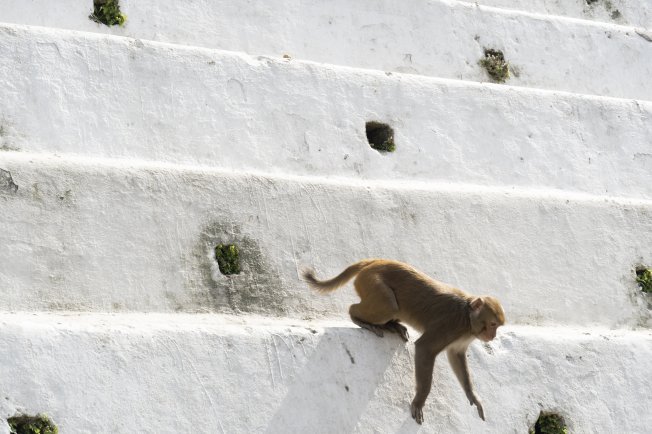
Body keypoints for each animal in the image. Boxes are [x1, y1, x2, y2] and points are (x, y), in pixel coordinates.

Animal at [303, 259, 505, 424]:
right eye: (492, 324)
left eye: (497, 326)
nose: (493, 336)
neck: (467, 316)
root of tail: (375, 261)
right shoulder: (450, 324)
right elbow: (425, 348)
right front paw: (419, 401)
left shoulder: (463, 335)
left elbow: (456, 355)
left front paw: (473, 397)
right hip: (371, 282)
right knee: (388, 305)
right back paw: (359, 317)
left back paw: (391, 325)